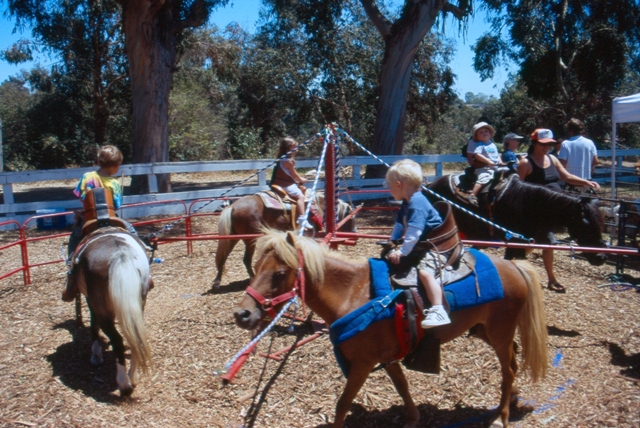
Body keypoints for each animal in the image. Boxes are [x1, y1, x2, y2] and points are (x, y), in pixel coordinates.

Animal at [66, 226, 154, 396]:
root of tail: (120, 254)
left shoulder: (91, 302)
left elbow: (94, 326)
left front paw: (96, 356)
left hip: (103, 311)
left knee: (117, 340)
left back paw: (124, 384)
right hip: (138, 303)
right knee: (134, 336)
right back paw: (133, 377)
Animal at [212, 191, 356, 291]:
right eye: (351, 218)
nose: (354, 235)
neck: (316, 205)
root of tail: (232, 207)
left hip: (233, 238)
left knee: (223, 257)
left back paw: (217, 283)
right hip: (250, 239)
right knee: (246, 259)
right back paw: (251, 278)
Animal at [233, 230, 548, 428]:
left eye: (279, 274)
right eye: (256, 267)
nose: (242, 314)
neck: (353, 294)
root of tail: (515, 267)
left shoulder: (362, 363)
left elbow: (343, 403)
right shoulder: (387, 357)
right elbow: (401, 385)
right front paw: (413, 418)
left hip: (499, 332)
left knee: (508, 370)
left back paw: (500, 416)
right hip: (484, 330)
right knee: (513, 361)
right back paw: (513, 399)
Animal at [427, 174, 606, 284]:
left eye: (600, 225)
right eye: (585, 226)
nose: (601, 257)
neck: (528, 204)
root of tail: (430, 185)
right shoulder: (514, 242)